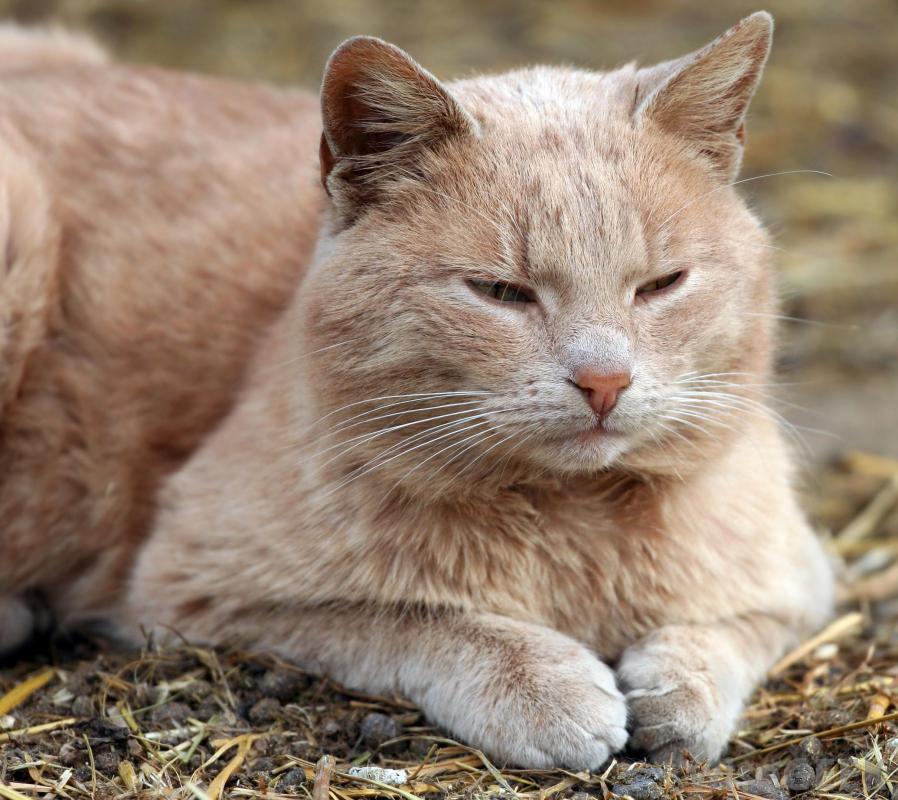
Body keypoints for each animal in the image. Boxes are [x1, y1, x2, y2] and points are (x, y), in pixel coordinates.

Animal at [0, 14, 832, 768]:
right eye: (500, 292)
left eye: (662, 284)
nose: (605, 381)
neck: (575, 519)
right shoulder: (197, 588)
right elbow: (420, 618)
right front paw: (546, 685)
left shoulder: (803, 578)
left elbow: (729, 632)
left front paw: (678, 691)